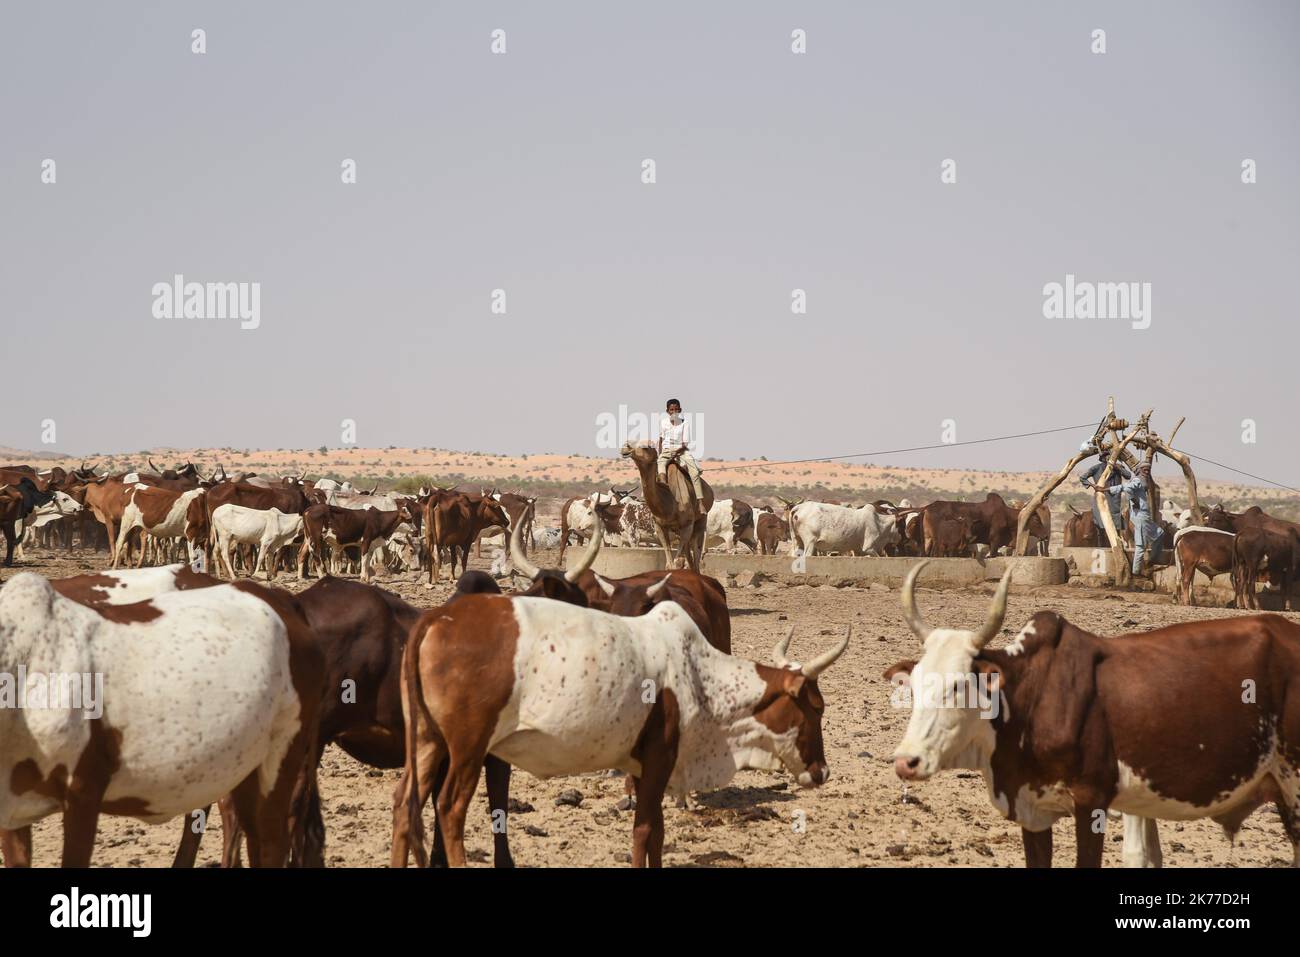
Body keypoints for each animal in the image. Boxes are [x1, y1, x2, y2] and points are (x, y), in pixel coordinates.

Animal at [392, 591, 849, 867]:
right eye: (817, 708)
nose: (823, 771)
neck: (700, 675)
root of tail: (437, 618)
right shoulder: (661, 759)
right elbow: (645, 830)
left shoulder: (643, 766)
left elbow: (657, 832)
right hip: (468, 748)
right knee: (450, 809)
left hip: (427, 742)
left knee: (403, 807)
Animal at [886, 560, 1300, 868]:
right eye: (915, 684)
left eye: (958, 685)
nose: (906, 762)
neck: (1035, 695)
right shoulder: (1034, 812)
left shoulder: (1091, 803)